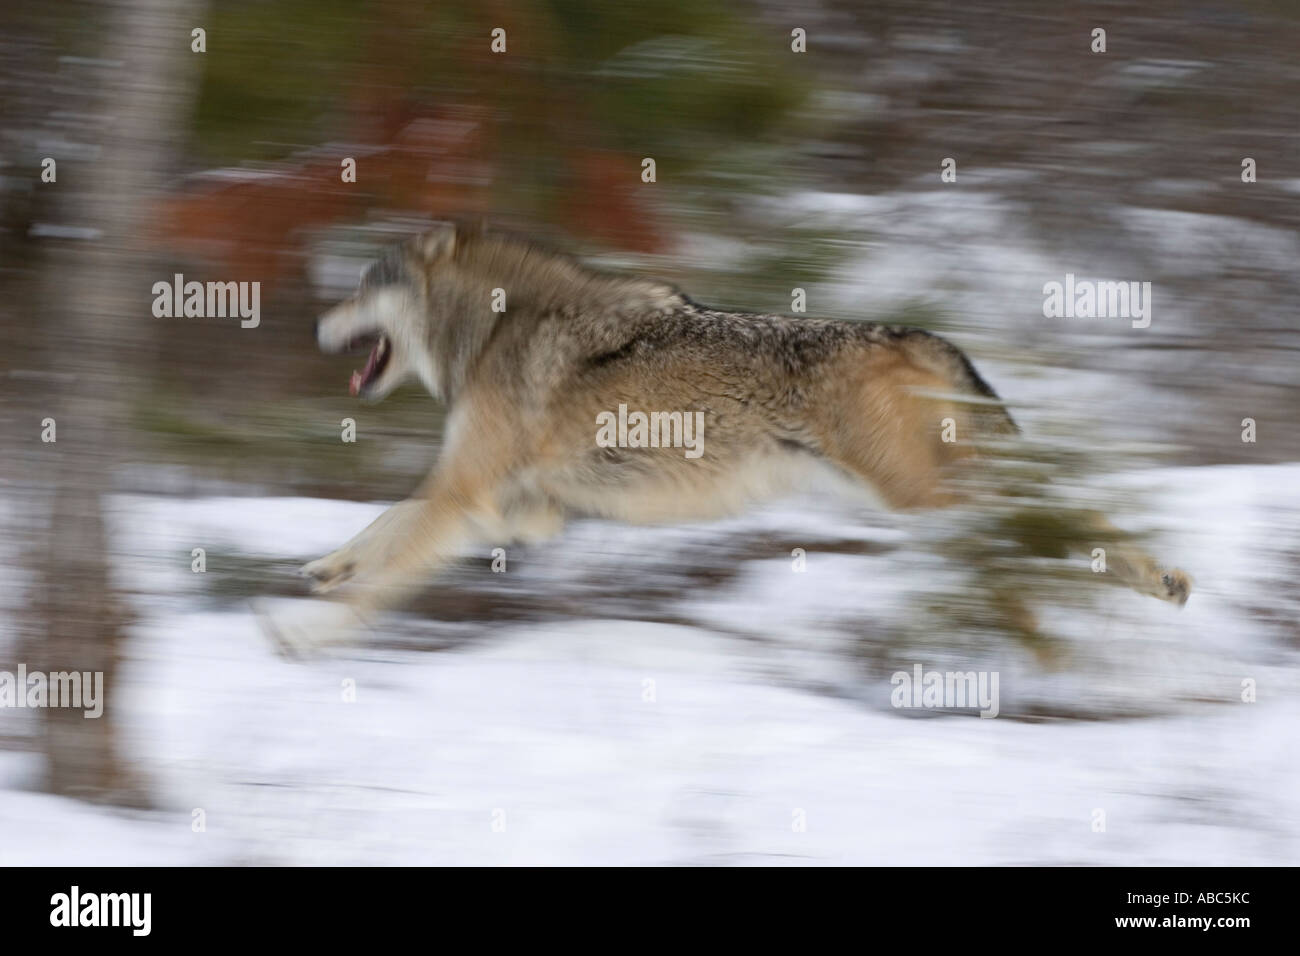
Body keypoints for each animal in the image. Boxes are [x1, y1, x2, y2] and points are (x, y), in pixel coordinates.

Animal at [259, 222, 1189, 654]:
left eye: (360, 288)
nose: (312, 324)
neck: (491, 331)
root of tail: (916, 332)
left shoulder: (469, 494)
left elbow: (390, 560)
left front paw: (304, 634)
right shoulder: (513, 510)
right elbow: (382, 526)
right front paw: (325, 569)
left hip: (926, 497)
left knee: (1036, 523)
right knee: (1064, 512)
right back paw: (1162, 583)